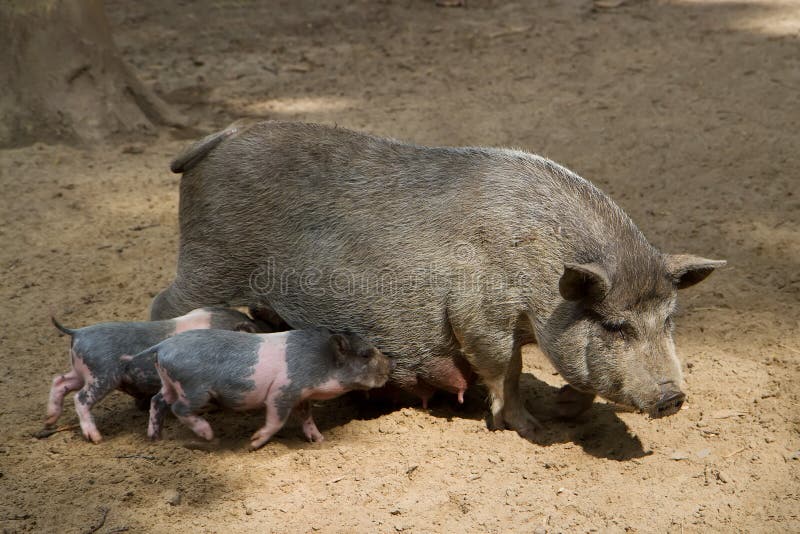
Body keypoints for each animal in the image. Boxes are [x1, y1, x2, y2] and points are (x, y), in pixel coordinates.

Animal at [47, 307, 259, 443]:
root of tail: (78, 332)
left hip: (80, 372)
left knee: (59, 381)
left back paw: (50, 419)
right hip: (102, 375)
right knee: (80, 398)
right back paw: (96, 438)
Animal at [145, 328, 393, 449]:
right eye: (365, 354)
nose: (391, 364)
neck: (320, 362)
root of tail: (162, 346)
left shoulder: (302, 395)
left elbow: (307, 416)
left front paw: (319, 440)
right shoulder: (282, 391)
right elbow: (277, 420)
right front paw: (253, 443)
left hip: (169, 383)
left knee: (157, 400)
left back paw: (155, 439)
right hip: (194, 388)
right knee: (178, 408)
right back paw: (209, 435)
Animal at [150, 120, 725, 438]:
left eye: (668, 321)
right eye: (614, 326)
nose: (673, 398)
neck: (542, 270)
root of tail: (220, 138)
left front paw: (563, 410)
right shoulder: (480, 315)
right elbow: (505, 368)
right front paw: (528, 427)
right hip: (208, 260)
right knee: (164, 305)